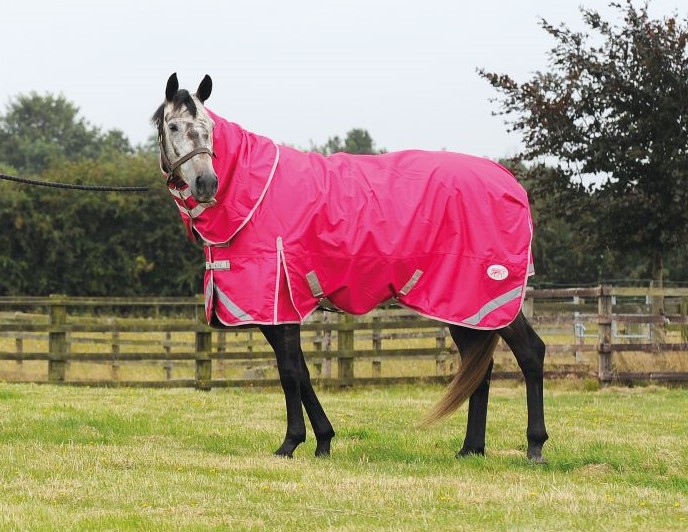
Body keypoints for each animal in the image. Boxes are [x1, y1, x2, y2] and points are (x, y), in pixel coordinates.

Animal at [152, 73, 548, 462]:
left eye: (209, 128)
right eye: (173, 126)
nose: (206, 183)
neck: (254, 196)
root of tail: (511, 183)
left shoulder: (279, 301)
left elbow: (289, 370)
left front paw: (291, 443)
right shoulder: (277, 309)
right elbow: (303, 370)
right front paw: (323, 441)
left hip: (490, 297)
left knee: (530, 352)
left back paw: (535, 446)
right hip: (462, 307)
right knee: (478, 367)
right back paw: (470, 449)